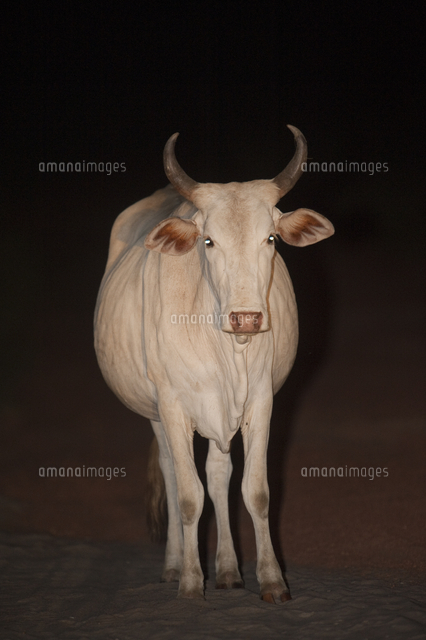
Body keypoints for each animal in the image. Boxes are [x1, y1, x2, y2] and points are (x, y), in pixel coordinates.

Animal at [94, 126, 334, 603]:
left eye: (271, 239)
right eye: (208, 241)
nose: (246, 317)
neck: (229, 350)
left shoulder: (260, 401)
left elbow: (255, 492)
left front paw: (271, 579)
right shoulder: (172, 405)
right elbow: (189, 496)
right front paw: (190, 581)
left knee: (219, 474)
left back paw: (225, 569)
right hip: (156, 414)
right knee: (173, 474)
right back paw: (174, 565)